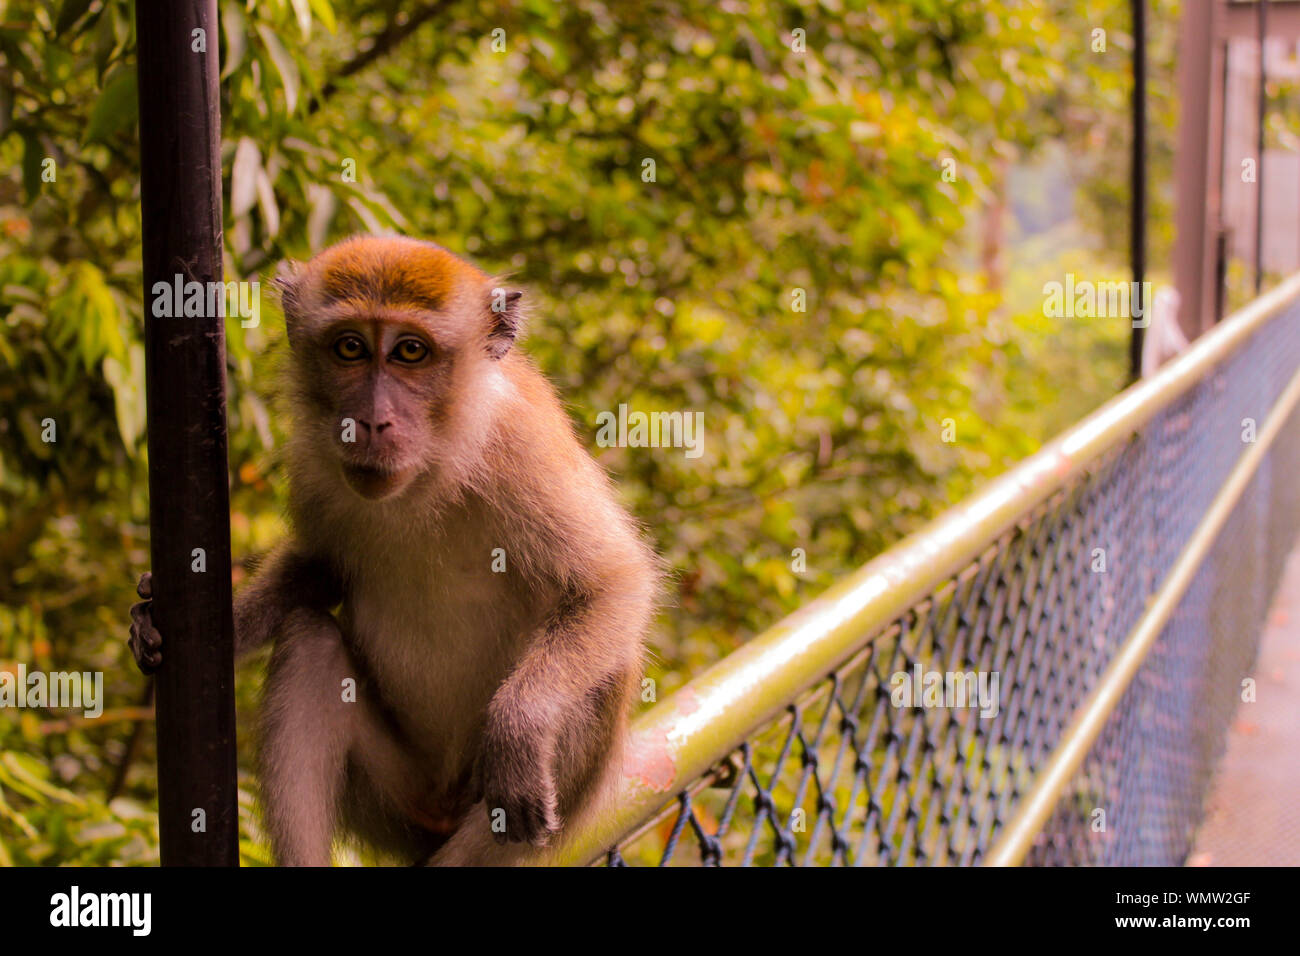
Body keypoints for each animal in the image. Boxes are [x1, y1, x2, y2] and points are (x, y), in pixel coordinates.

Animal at [128, 236, 659, 865]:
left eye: (410, 351)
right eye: (350, 347)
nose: (370, 422)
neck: (434, 465)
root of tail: (438, 811)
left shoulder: (523, 444)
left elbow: (612, 583)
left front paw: (518, 728)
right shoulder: (312, 460)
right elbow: (320, 571)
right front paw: (199, 626)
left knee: (599, 682)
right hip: (395, 803)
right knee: (310, 644)